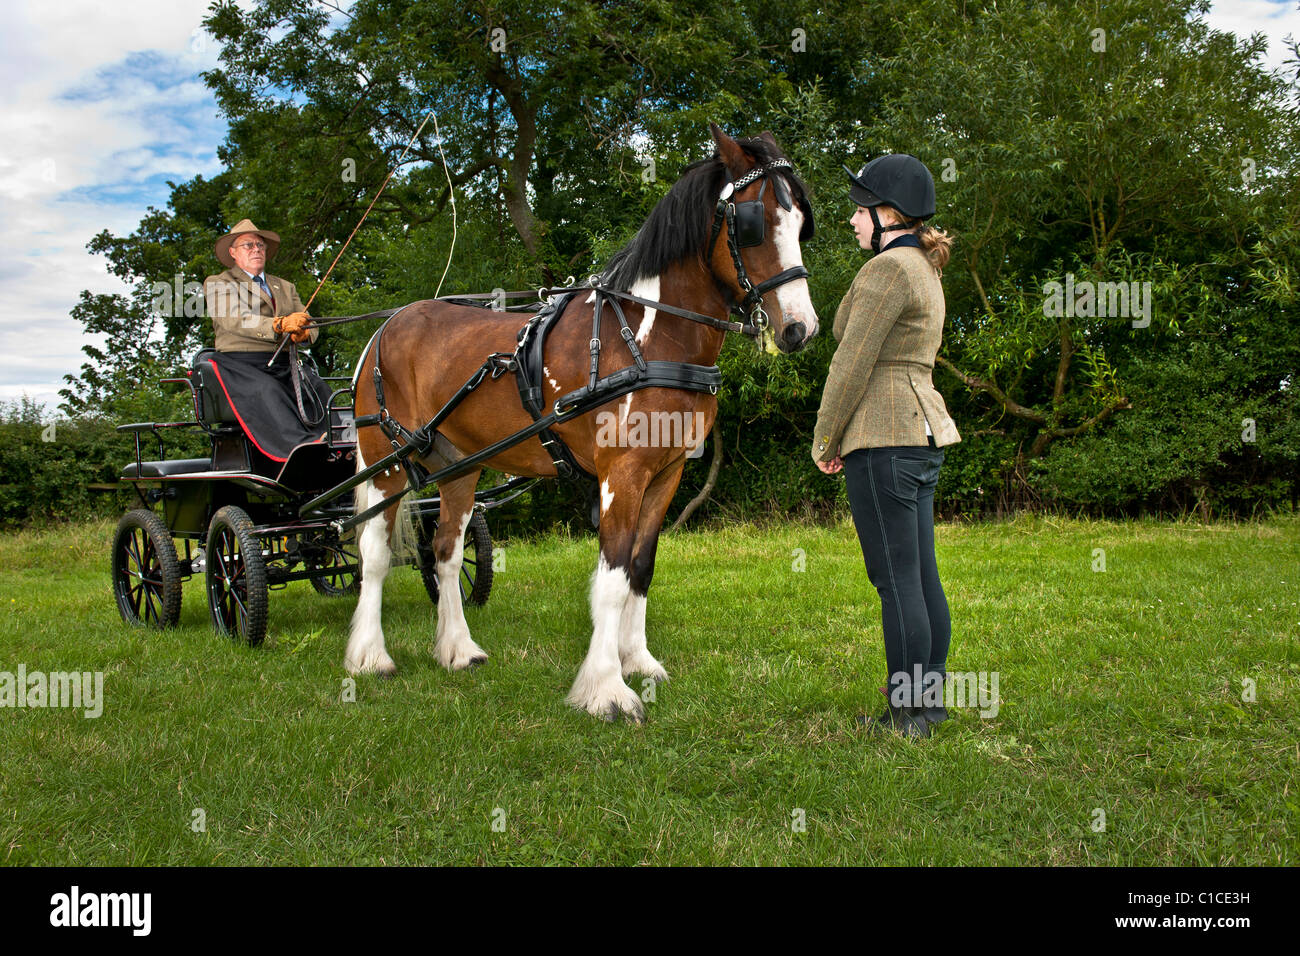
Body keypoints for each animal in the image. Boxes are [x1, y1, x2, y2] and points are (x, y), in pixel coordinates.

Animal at [345, 123, 818, 721]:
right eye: (755, 224)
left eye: (801, 223)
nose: (801, 328)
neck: (645, 337)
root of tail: (385, 328)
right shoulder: (623, 473)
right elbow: (612, 578)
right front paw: (606, 689)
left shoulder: (666, 475)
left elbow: (640, 567)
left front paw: (637, 661)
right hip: (386, 459)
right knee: (374, 554)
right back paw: (370, 656)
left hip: (459, 467)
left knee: (447, 553)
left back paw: (458, 648)